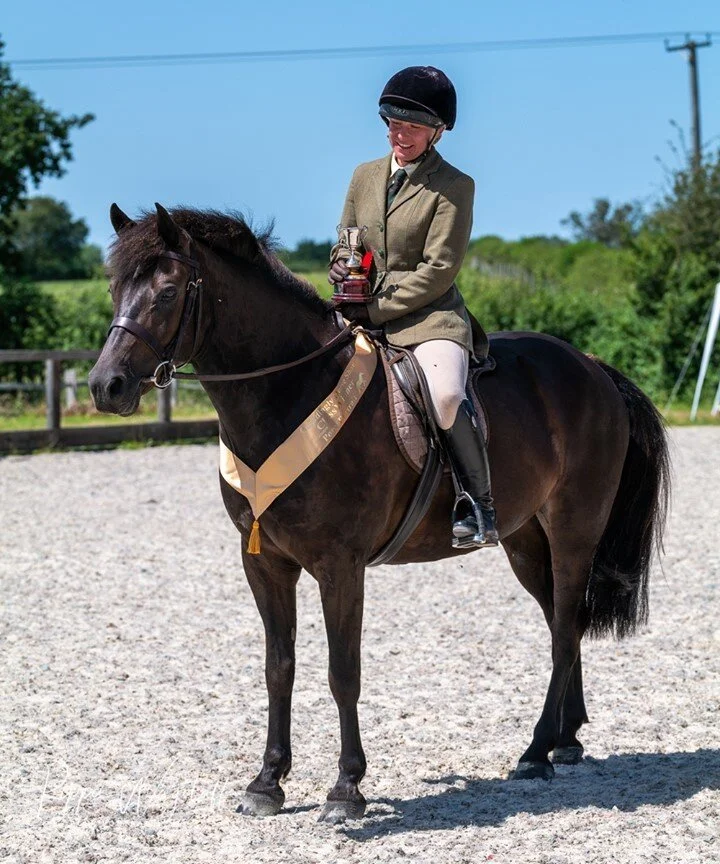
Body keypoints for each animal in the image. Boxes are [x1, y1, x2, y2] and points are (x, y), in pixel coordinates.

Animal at [88, 203, 670, 824]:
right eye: (115, 287)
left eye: (168, 292)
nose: (106, 386)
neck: (291, 392)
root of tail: (592, 366)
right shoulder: (264, 563)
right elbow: (278, 666)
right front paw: (267, 782)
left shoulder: (340, 566)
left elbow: (343, 672)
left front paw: (346, 789)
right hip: (525, 541)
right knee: (565, 620)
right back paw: (567, 740)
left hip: (573, 531)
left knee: (563, 629)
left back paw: (537, 751)